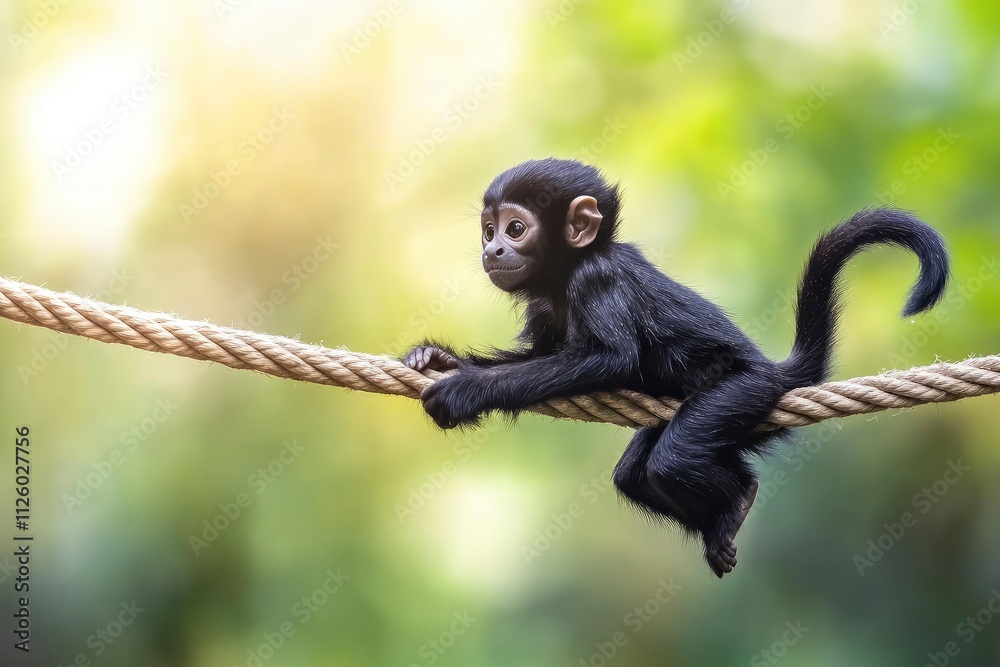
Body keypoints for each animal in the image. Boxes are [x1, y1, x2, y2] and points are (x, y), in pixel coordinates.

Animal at [403, 158, 950, 578]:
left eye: (514, 229)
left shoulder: (597, 278)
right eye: (488, 230)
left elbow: (611, 358)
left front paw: (464, 389)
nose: (492, 248)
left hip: (742, 389)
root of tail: (775, 373)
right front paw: (437, 359)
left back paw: (738, 499)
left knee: (673, 460)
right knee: (635, 475)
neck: (566, 275)